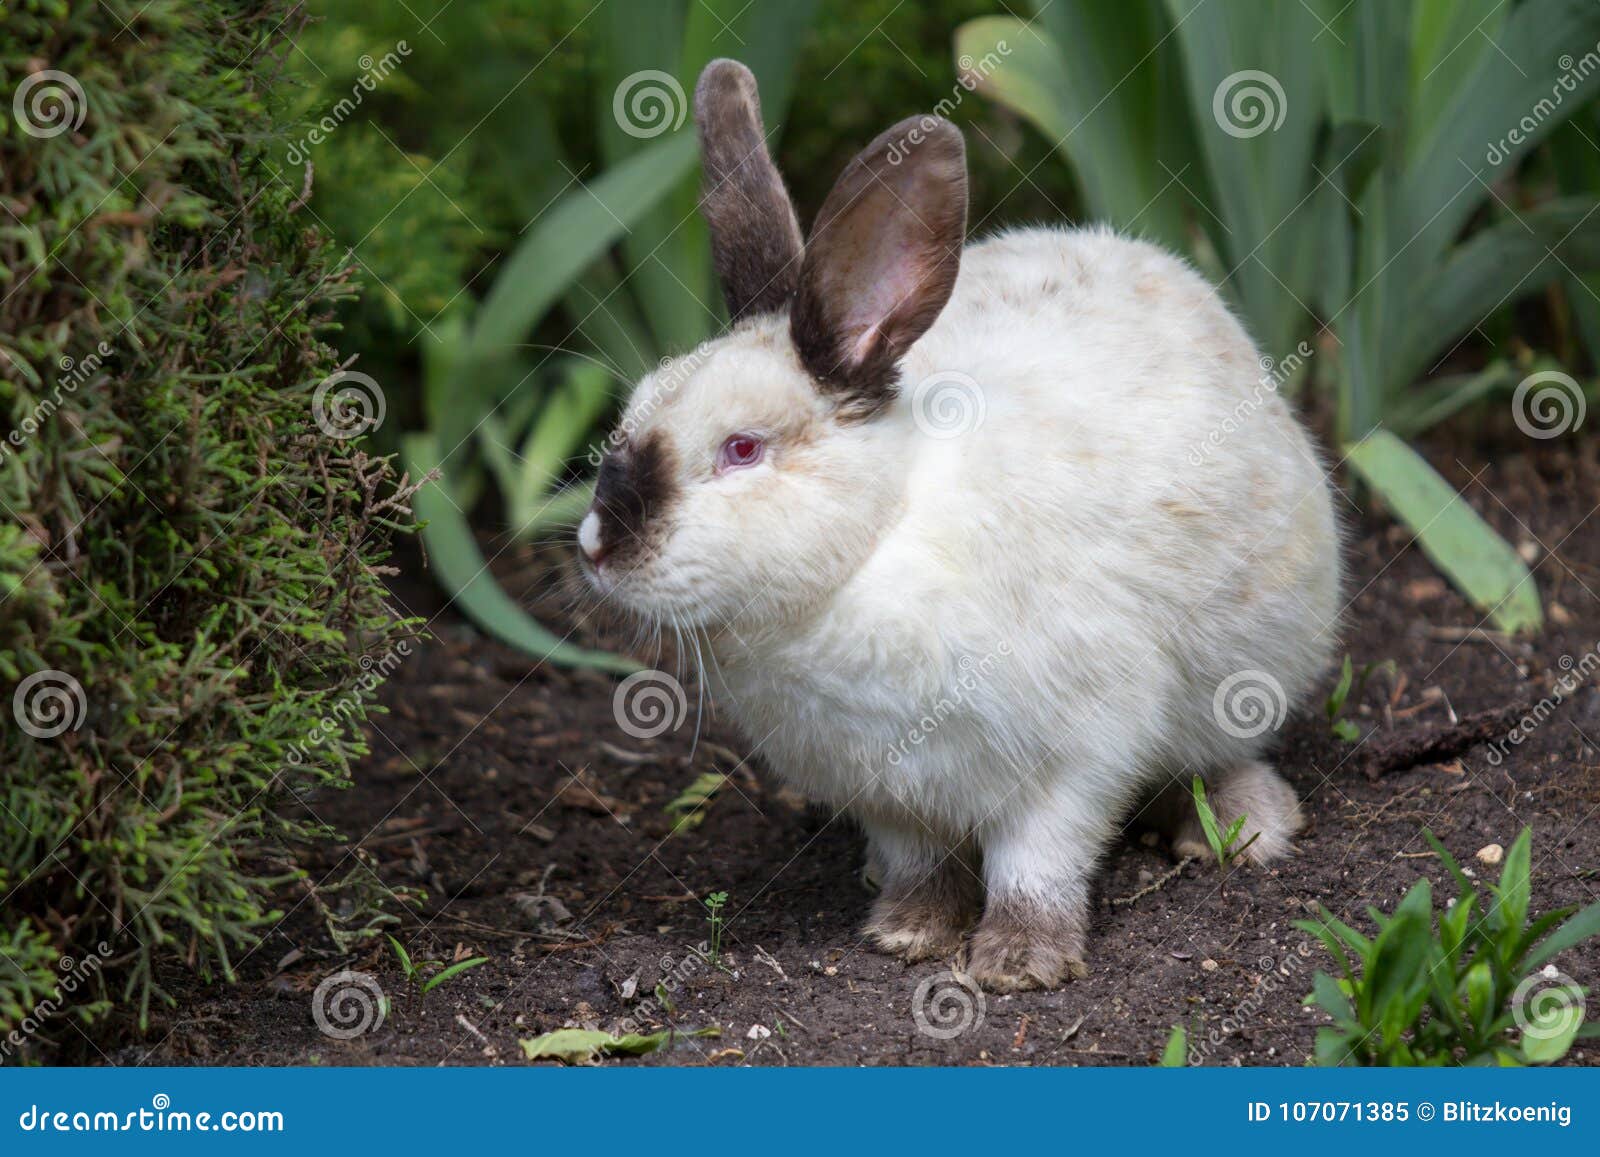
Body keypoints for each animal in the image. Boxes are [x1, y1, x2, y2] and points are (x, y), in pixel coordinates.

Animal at [577, 58, 1341, 991]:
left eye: (742, 448)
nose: (597, 547)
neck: (870, 547)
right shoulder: (889, 795)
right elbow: (924, 864)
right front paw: (908, 933)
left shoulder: (1073, 761)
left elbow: (1038, 863)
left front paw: (1017, 963)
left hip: (1250, 666)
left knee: (1218, 754)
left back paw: (1242, 828)